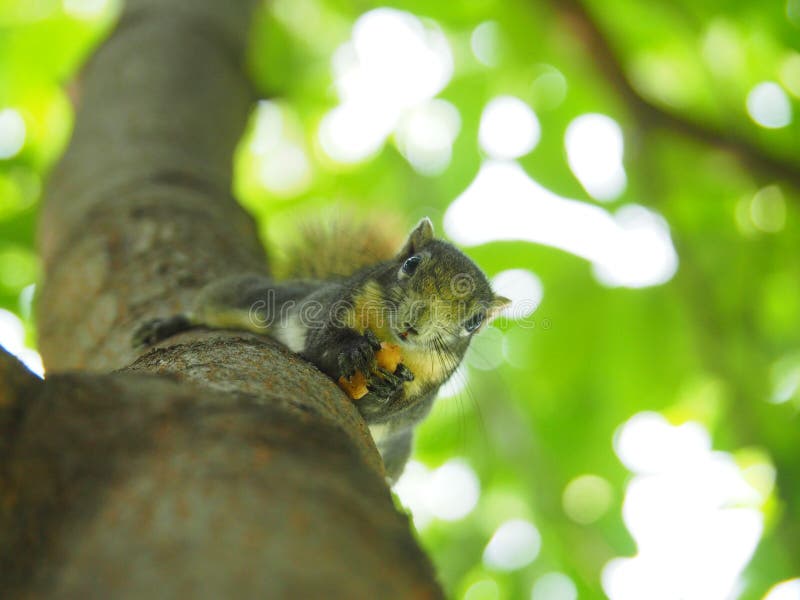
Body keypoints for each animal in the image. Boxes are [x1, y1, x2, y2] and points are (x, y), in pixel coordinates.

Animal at [134, 217, 510, 481]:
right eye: (411, 263)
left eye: (475, 321)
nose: (413, 324)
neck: (388, 339)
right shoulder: (332, 308)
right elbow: (322, 345)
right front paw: (352, 350)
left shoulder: (426, 386)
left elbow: (388, 412)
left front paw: (387, 389)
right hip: (254, 299)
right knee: (211, 305)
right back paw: (168, 324)